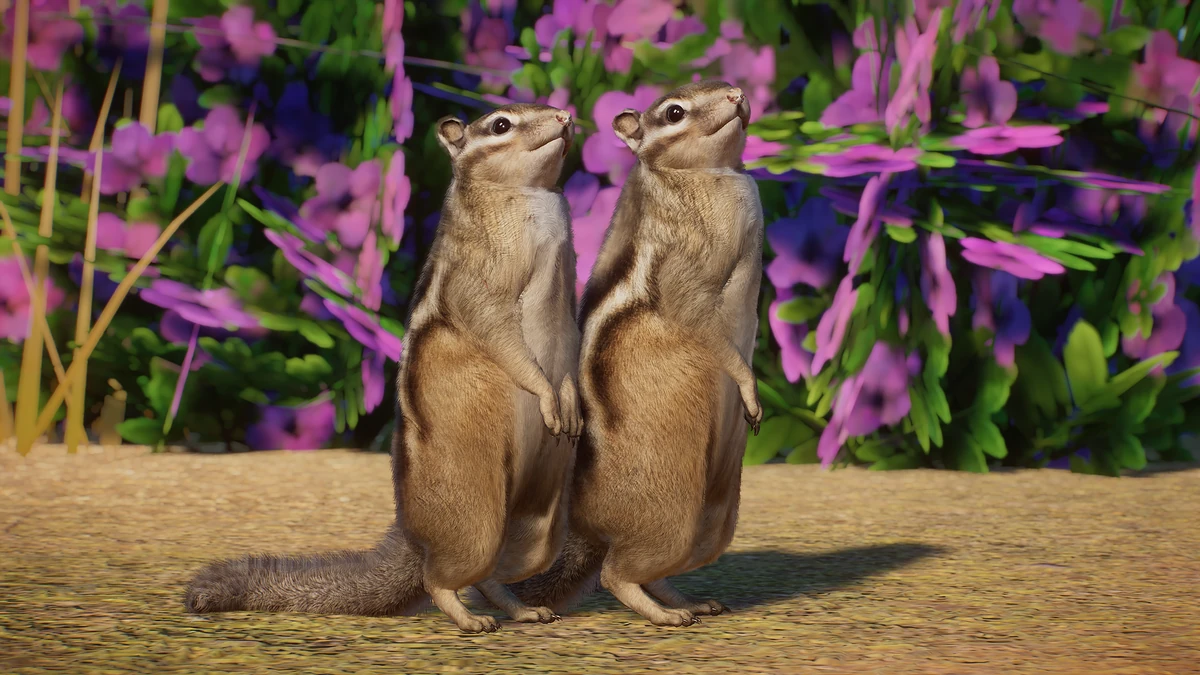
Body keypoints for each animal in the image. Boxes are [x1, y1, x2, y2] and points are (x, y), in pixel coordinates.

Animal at [184, 104, 584, 634]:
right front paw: (546, 394)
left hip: (540, 522)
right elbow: (503, 336)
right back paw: (466, 618)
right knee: (442, 578)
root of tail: (413, 533)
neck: (532, 195)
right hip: (476, 511)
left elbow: (572, 346)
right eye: (500, 125)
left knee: (492, 575)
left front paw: (572, 400)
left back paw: (523, 610)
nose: (565, 116)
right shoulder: (480, 284)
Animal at [506, 80, 765, 627]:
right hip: (671, 507)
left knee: (658, 569)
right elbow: (707, 326)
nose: (737, 95)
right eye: (674, 112)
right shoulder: (687, 278)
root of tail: (585, 523)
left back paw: (690, 601)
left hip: (715, 510)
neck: (713, 175)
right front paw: (749, 386)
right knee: (616, 574)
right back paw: (664, 614)